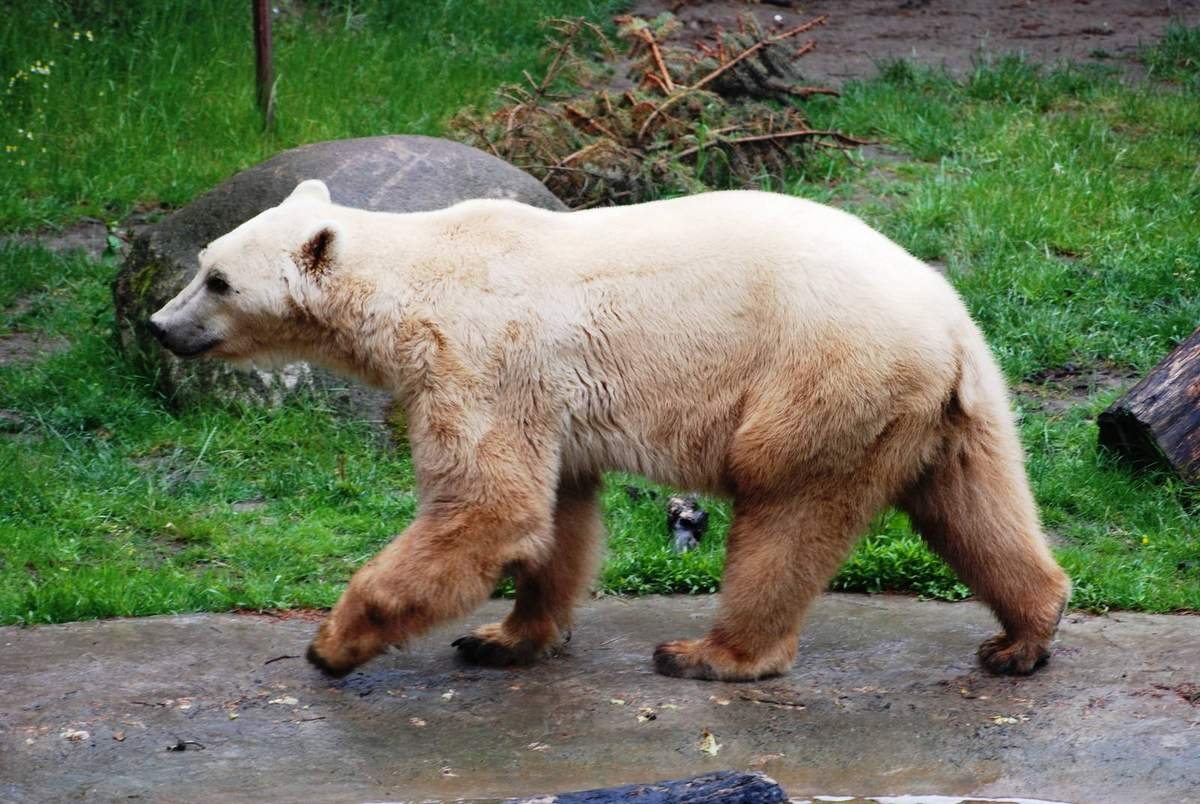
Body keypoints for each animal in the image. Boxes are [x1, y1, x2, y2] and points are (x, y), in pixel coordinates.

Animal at [145, 180, 1075, 681]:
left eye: (217, 280)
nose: (159, 326)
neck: (418, 275)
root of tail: (946, 324)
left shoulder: (480, 356)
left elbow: (487, 506)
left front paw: (332, 645)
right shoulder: (543, 393)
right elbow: (556, 514)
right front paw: (504, 636)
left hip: (824, 376)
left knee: (786, 506)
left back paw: (710, 653)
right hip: (947, 406)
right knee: (975, 502)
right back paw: (1024, 631)